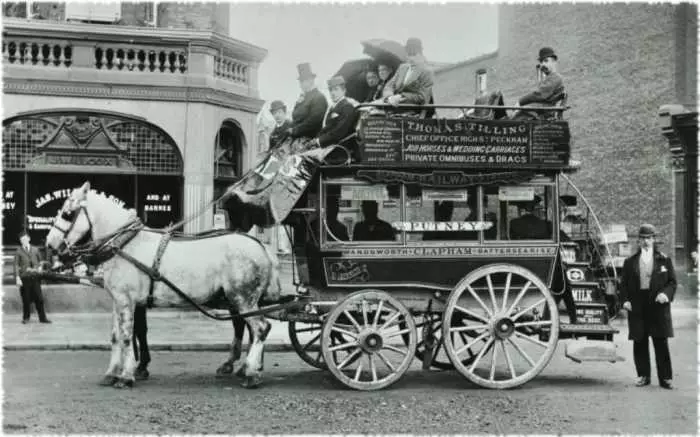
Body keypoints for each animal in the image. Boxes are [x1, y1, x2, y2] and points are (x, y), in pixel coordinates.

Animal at [45, 182, 282, 386]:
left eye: (67, 213)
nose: (49, 244)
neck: (125, 244)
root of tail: (261, 247)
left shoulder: (127, 299)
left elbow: (126, 336)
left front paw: (127, 375)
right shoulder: (118, 299)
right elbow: (116, 336)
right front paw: (112, 373)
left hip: (243, 297)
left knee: (260, 328)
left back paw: (251, 373)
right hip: (240, 299)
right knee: (250, 328)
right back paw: (247, 367)